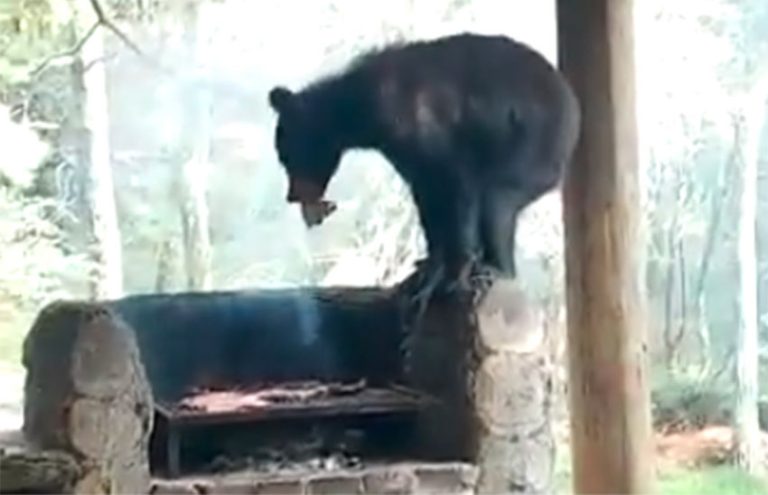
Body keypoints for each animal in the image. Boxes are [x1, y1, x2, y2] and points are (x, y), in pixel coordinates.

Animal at [268, 33, 580, 299]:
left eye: (287, 156)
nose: (291, 195)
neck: (361, 111)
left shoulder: (426, 125)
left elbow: (456, 186)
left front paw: (451, 274)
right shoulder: (404, 154)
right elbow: (428, 199)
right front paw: (428, 268)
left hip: (531, 146)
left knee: (497, 200)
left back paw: (494, 269)